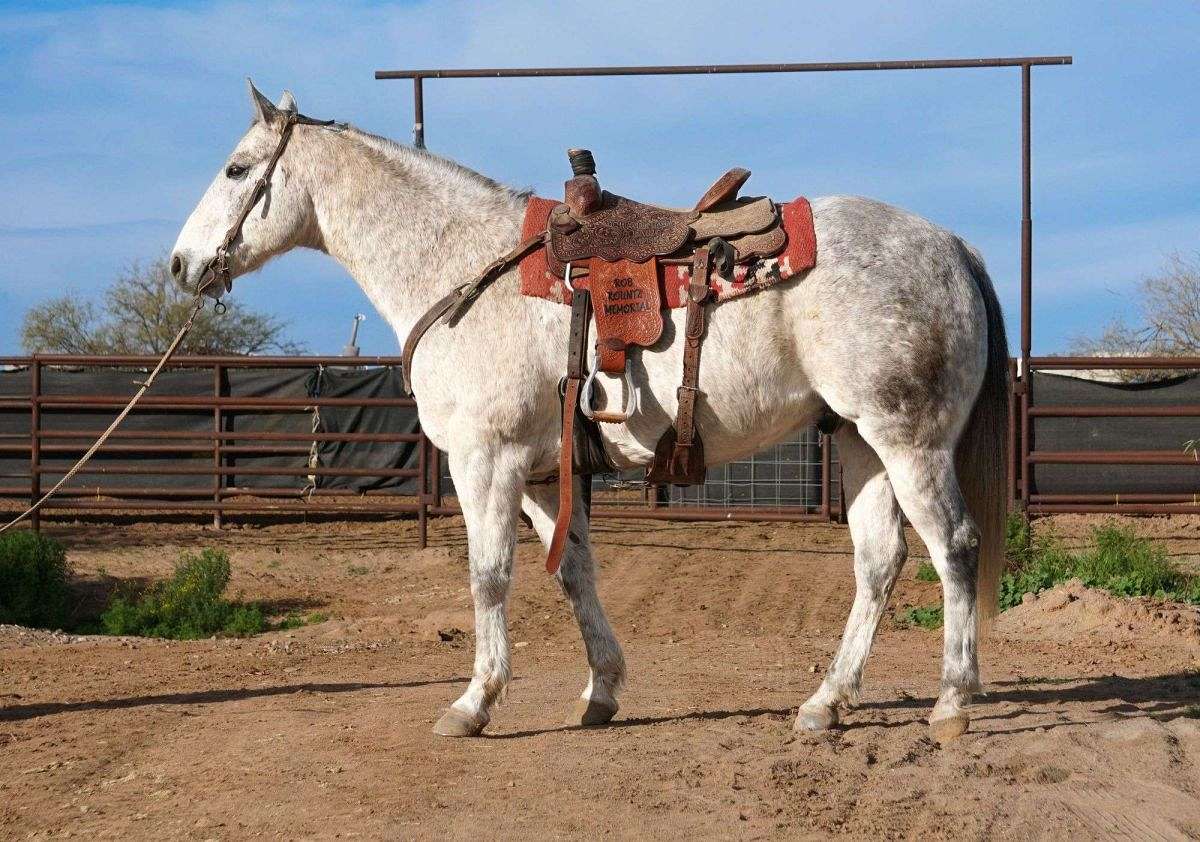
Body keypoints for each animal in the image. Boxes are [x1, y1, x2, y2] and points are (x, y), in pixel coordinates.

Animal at [170, 82, 1009, 743]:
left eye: (236, 169)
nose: (181, 265)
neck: (460, 268)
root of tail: (952, 246)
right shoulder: (548, 474)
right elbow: (575, 574)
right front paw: (600, 691)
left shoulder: (487, 461)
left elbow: (490, 577)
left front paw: (474, 703)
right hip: (862, 442)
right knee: (880, 560)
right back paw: (826, 702)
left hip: (910, 440)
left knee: (954, 547)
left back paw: (951, 703)